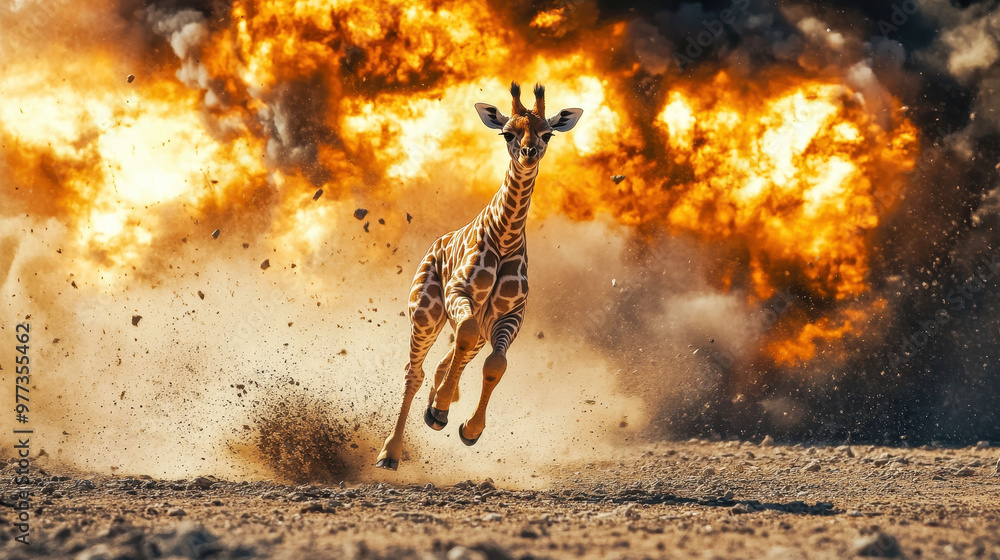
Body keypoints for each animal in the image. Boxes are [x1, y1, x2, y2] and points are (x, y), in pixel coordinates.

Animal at [375, 82, 583, 470]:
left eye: (548, 133)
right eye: (507, 133)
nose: (529, 153)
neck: (505, 234)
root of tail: (436, 244)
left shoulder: (510, 315)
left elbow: (496, 365)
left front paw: (468, 428)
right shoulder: (460, 294)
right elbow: (466, 338)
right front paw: (442, 407)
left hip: (476, 327)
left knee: (449, 358)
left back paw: (437, 409)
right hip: (425, 312)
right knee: (415, 371)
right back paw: (391, 451)